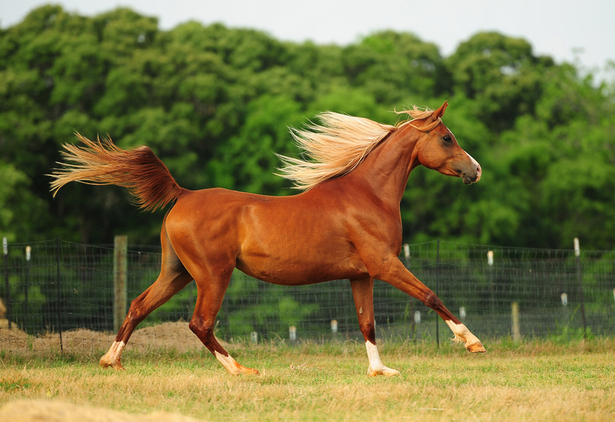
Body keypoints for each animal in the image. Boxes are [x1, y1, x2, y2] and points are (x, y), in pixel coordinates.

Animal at [50, 102, 486, 376]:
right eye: (446, 138)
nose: (476, 171)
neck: (367, 194)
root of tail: (183, 194)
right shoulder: (384, 265)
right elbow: (431, 295)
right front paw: (473, 343)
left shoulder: (361, 275)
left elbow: (367, 323)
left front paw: (380, 370)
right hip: (213, 275)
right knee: (200, 322)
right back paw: (241, 369)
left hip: (177, 273)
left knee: (139, 306)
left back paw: (111, 361)